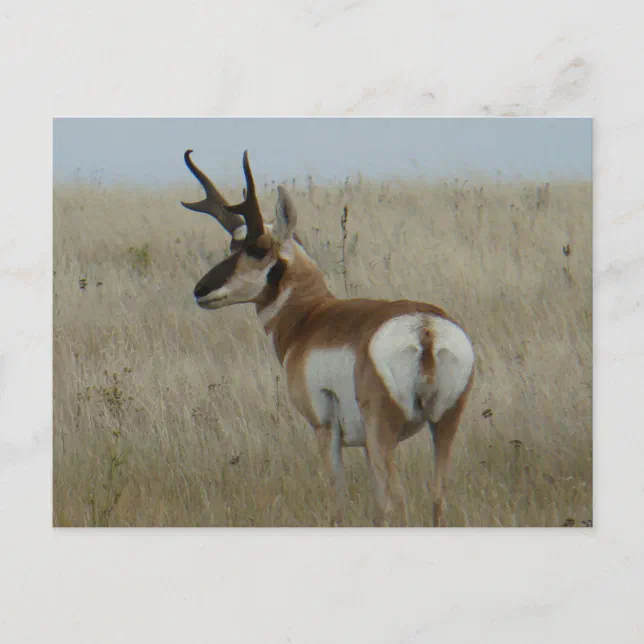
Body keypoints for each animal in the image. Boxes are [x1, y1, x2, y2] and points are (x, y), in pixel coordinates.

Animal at [181, 149, 475, 527]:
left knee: (398, 500)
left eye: (256, 248)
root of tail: (424, 328)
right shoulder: (365, 445)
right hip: (443, 425)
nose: (201, 290)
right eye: (233, 244)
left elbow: (338, 500)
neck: (312, 316)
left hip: (384, 434)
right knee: (436, 498)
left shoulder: (325, 430)